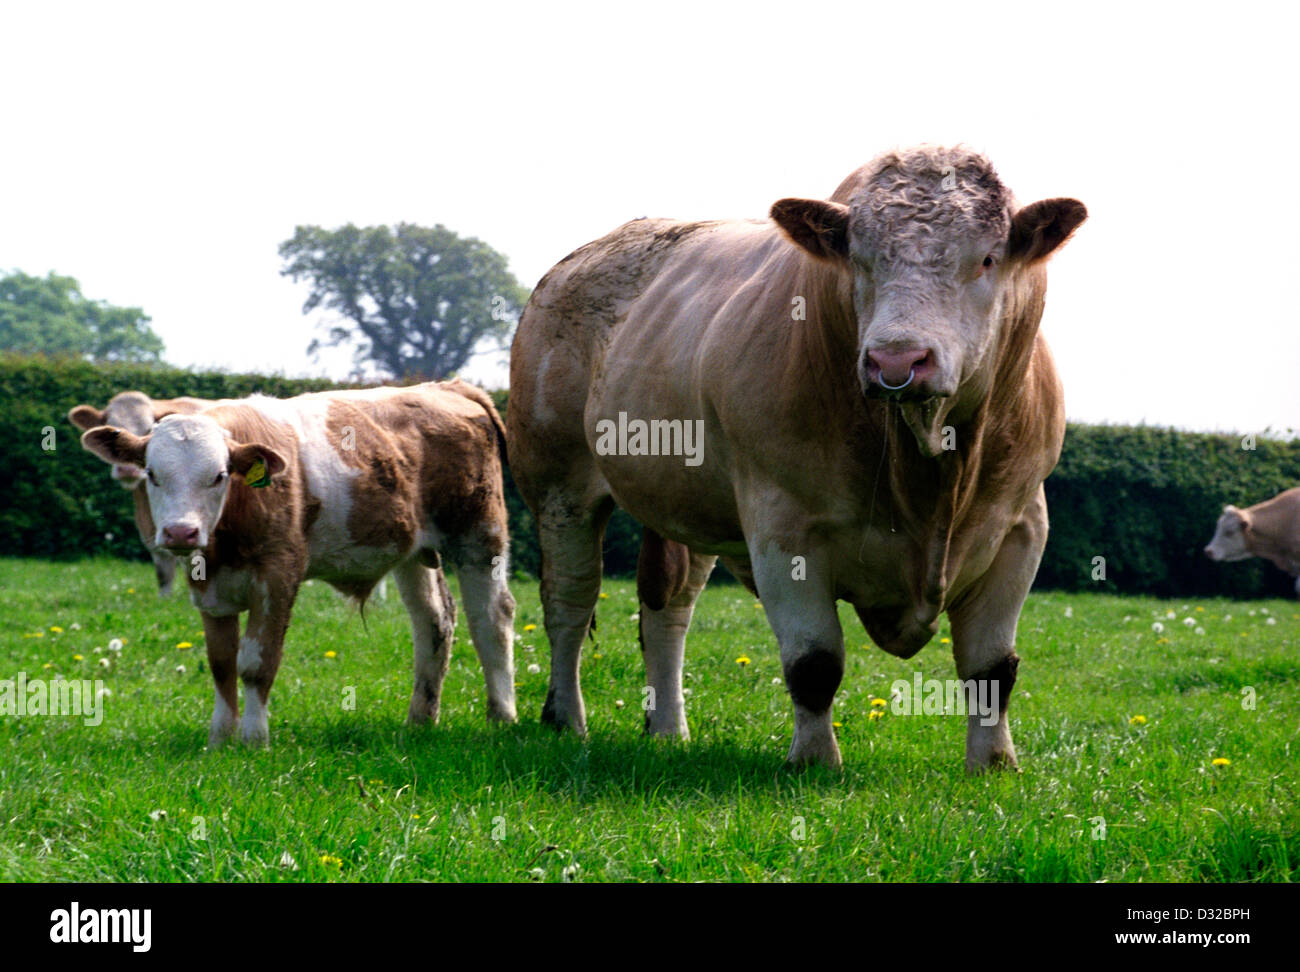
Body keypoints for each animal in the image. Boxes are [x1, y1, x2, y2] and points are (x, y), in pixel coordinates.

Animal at [507, 145, 1086, 771]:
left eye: (986, 259)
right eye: (859, 261)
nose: (896, 359)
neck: (928, 470)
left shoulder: (1020, 526)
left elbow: (992, 669)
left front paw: (993, 764)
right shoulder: (783, 529)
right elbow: (814, 662)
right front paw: (813, 761)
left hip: (690, 505)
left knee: (667, 608)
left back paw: (667, 729)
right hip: (559, 486)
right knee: (569, 601)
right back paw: (566, 719)